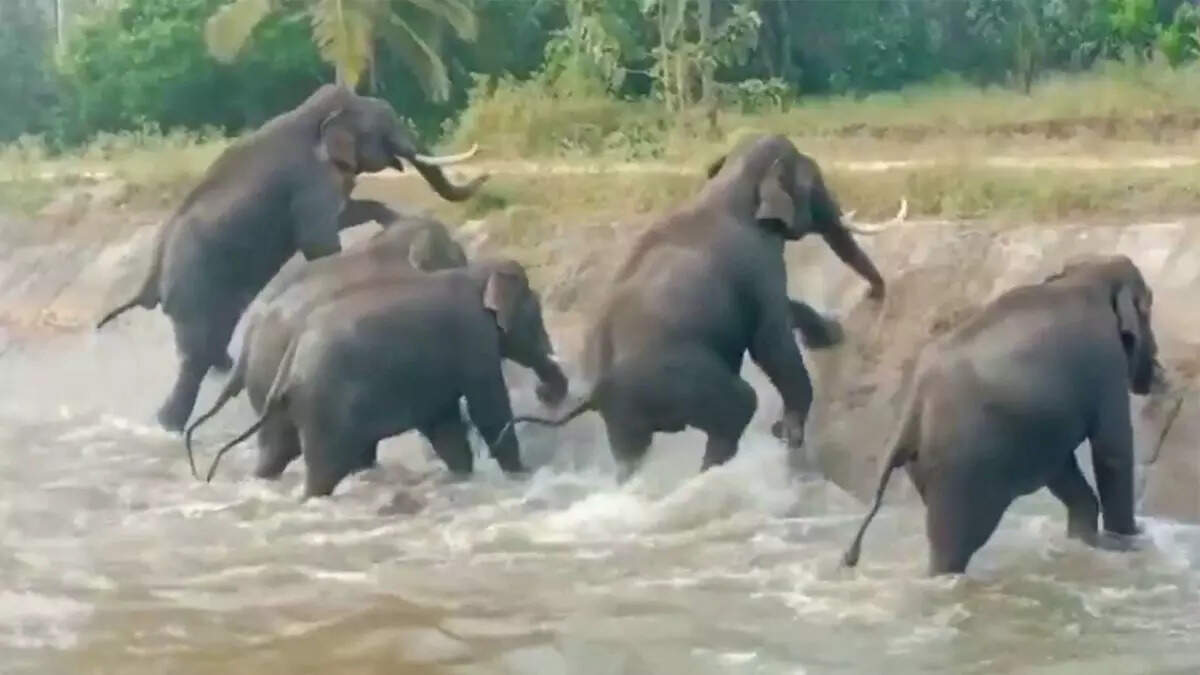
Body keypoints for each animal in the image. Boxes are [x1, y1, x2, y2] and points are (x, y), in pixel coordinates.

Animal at [94, 83, 488, 432]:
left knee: (209, 342)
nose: (483, 175)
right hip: (196, 286)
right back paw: (169, 426)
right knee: (196, 354)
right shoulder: (308, 184)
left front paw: (393, 223)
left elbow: (348, 213)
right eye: (385, 126)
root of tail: (151, 277)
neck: (315, 113)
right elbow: (319, 240)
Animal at [199, 258, 569, 499]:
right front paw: (521, 475)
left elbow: (445, 426)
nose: (548, 392)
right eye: (536, 313)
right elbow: (489, 410)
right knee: (325, 467)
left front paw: (463, 478)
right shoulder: (473, 340)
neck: (473, 272)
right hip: (325, 407)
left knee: (276, 452)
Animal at [498, 134, 891, 481]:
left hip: (625, 414)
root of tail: (594, 390)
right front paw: (787, 432)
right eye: (816, 183)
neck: (730, 181)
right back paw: (711, 475)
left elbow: (783, 312)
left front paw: (831, 335)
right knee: (738, 406)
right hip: (679, 379)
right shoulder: (757, 262)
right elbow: (771, 339)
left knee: (631, 454)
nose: (876, 294)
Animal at [842, 255, 1161, 576]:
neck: (1088, 276)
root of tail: (913, 409)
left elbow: (1061, 468)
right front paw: (1129, 543)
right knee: (954, 546)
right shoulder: (1106, 361)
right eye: (1149, 304)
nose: (1158, 369)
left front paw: (1086, 541)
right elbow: (1112, 451)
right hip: (960, 469)